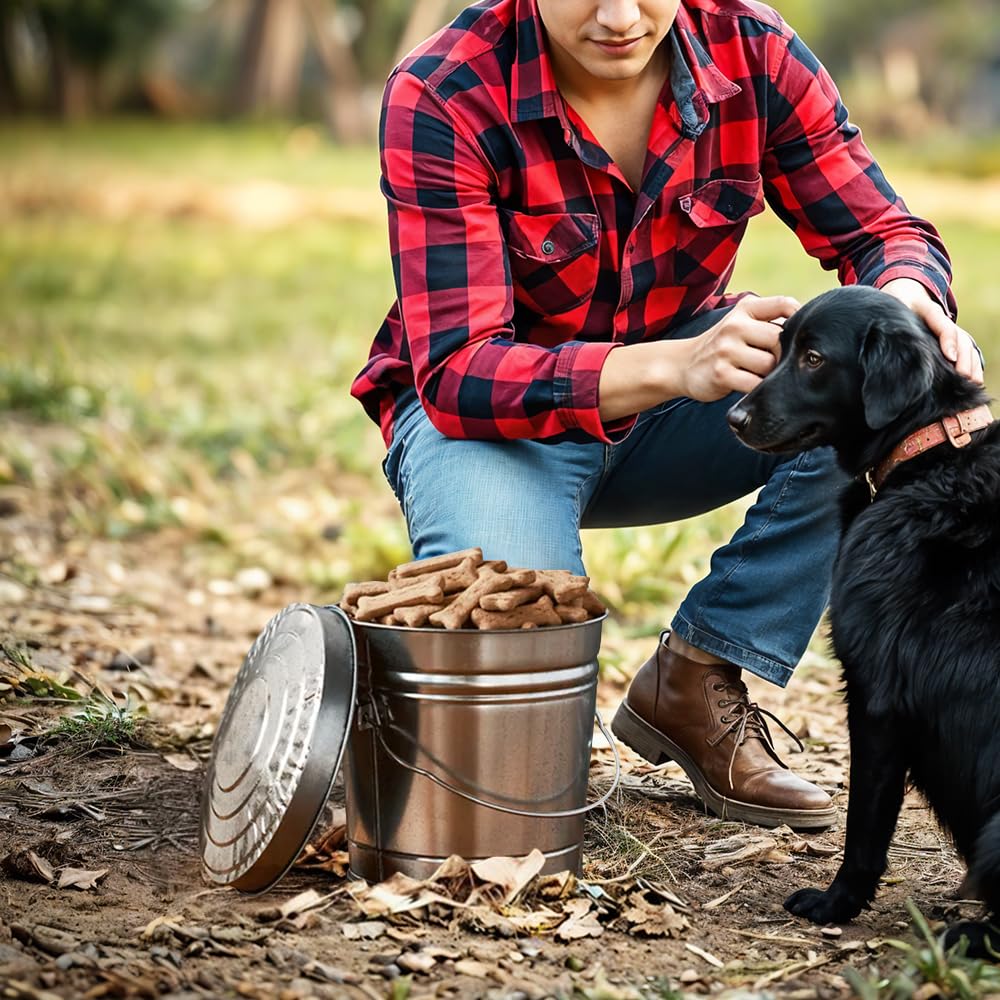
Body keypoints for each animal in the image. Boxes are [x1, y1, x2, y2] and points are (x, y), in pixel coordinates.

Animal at [728, 284, 1000, 952]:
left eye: (814, 359)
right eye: (779, 347)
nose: (734, 419)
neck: (928, 454)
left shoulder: (876, 698)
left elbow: (865, 825)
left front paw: (836, 904)